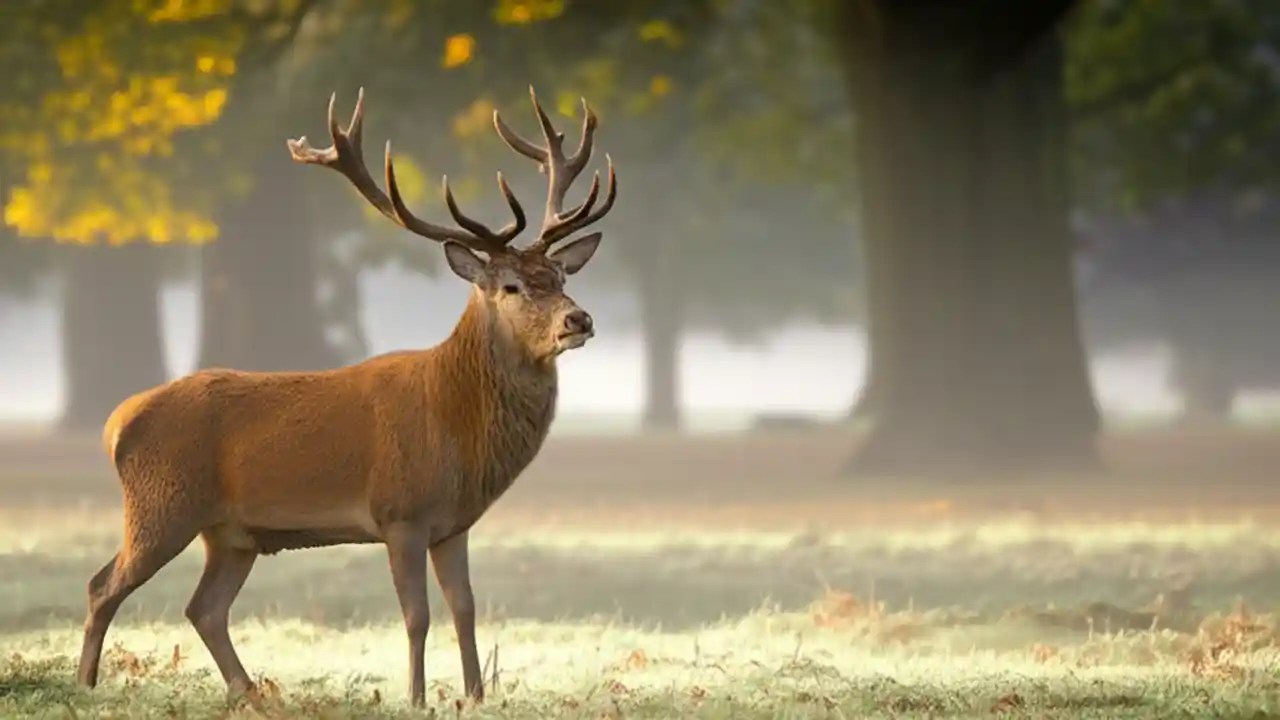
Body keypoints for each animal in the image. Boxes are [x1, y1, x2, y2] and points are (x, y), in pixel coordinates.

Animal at [75, 85, 617, 707]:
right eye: (512, 286)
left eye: (561, 277)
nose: (578, 319)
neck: (454, 425)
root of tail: (116, 423)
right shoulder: (399, 511)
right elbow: (416, 616)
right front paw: (416, 698)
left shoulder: (453, 524)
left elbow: (466, 609)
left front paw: (476, 697)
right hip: (161, 506)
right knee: (103, 585)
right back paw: (86, 685)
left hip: (230, 534)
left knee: (204, 608)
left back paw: (253, 695)